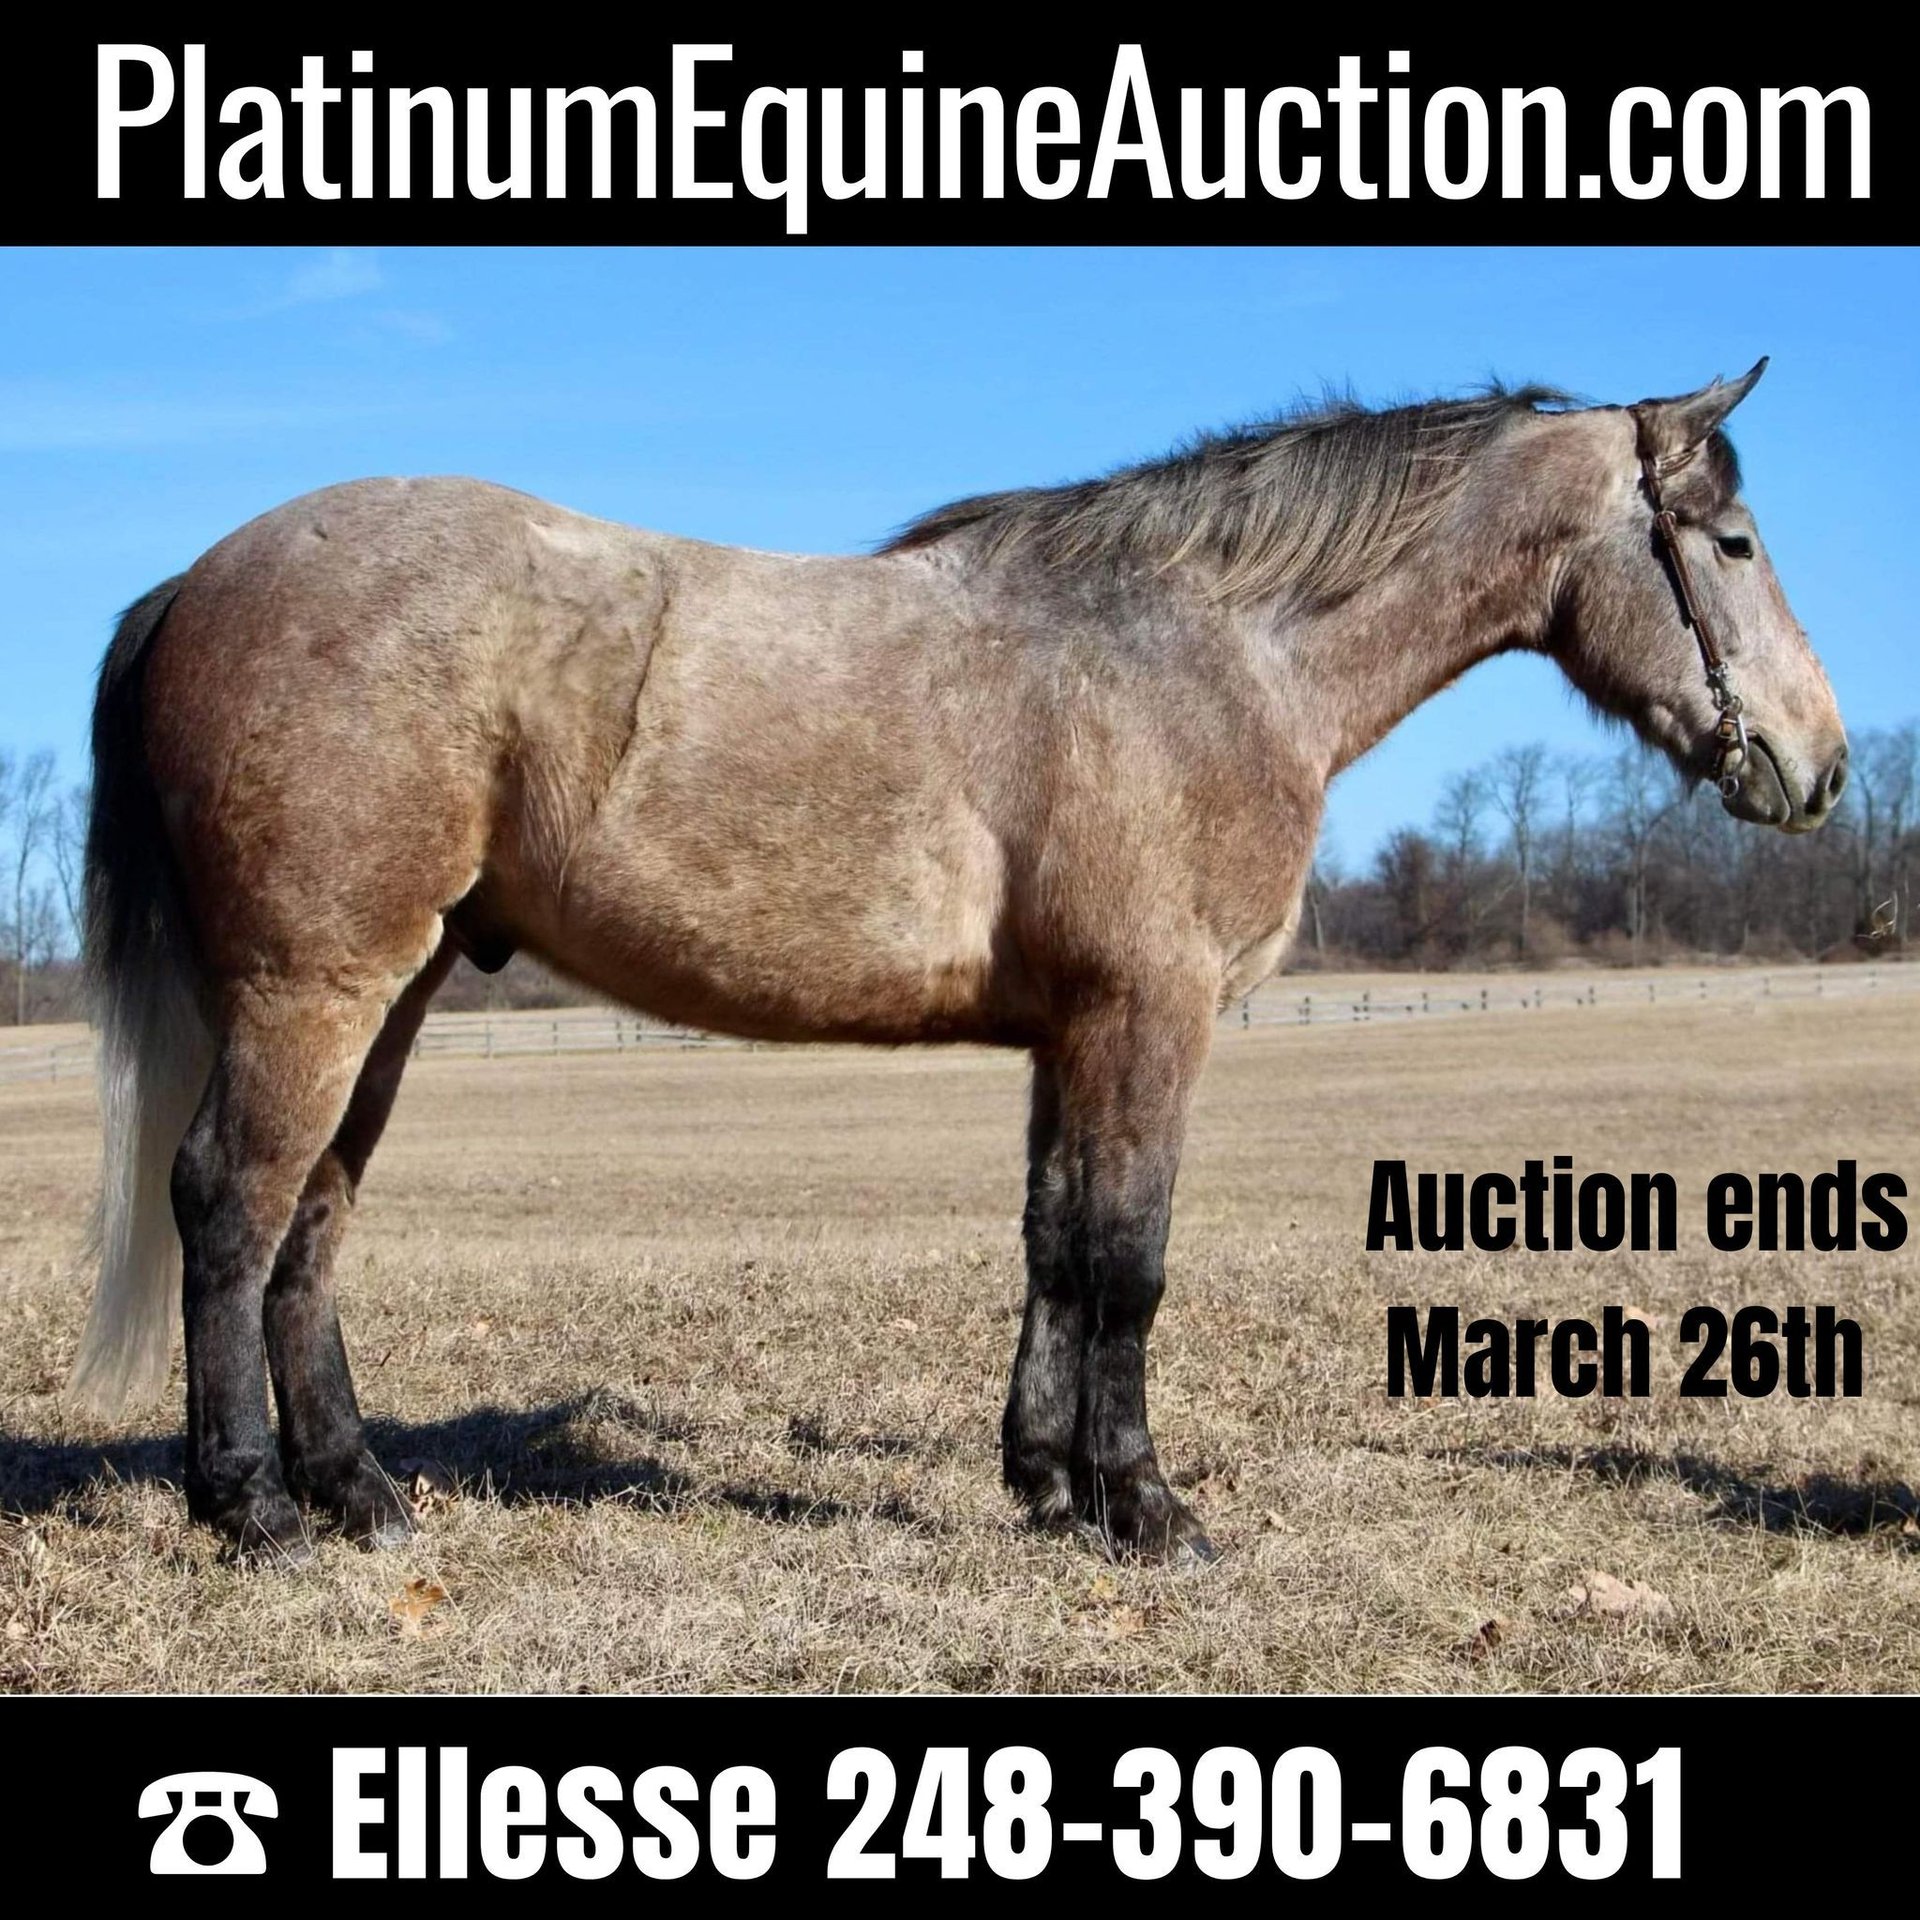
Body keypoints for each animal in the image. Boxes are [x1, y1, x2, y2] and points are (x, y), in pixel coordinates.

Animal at [67, 360, 1847, 1566]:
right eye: (1735, 540)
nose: (1818, 769)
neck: (1208, 649)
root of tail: (198, 579)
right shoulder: (1148, 1016)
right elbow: (1129, 1259)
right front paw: (1146, 1507)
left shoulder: (1074, 1034)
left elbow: (1055, 1247)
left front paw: (1048, 1486)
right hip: (317, 990)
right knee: (230, 1201)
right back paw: (251, 1510)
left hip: (392, 996)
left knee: (308, 1226)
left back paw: (359, 1493)